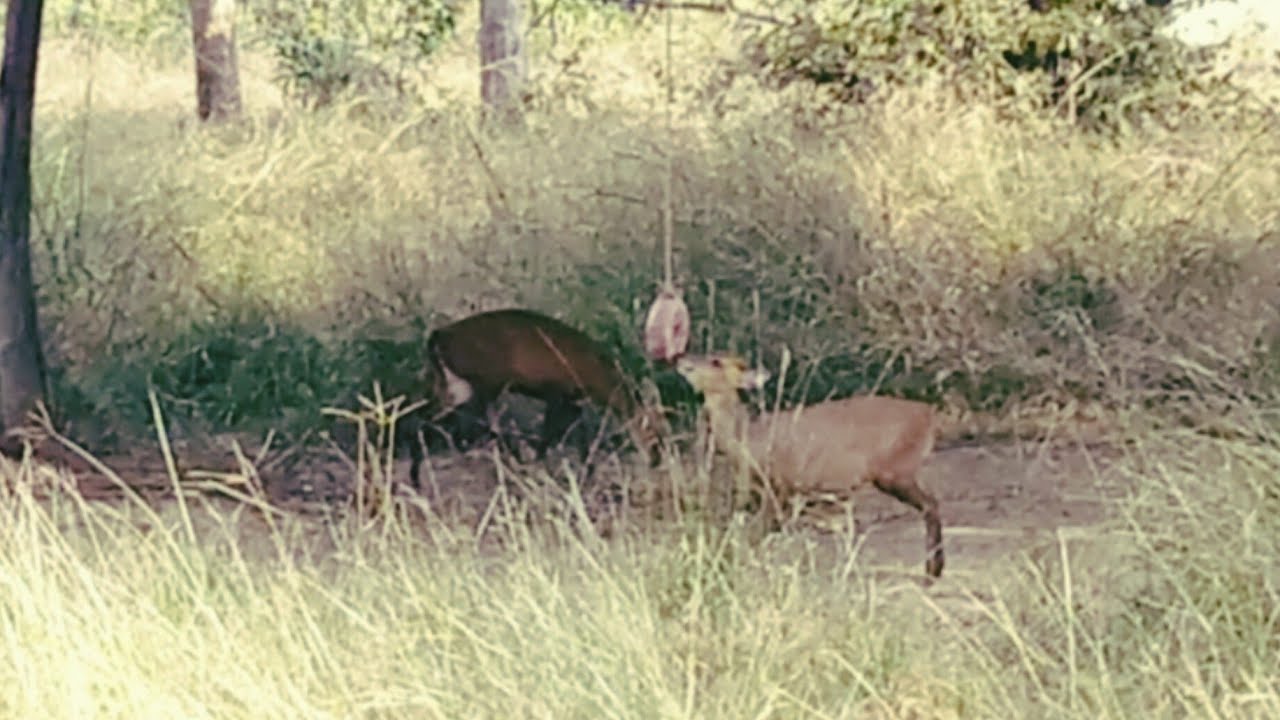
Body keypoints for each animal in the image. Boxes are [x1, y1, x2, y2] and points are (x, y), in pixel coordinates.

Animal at [675, 353, 944, 580]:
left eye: (716, 361)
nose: (681, 359)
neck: (745, 437)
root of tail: (929, 415)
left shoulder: (779, 487)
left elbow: (759, 533)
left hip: (894, 471)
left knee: (930, 505)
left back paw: (932, 571)